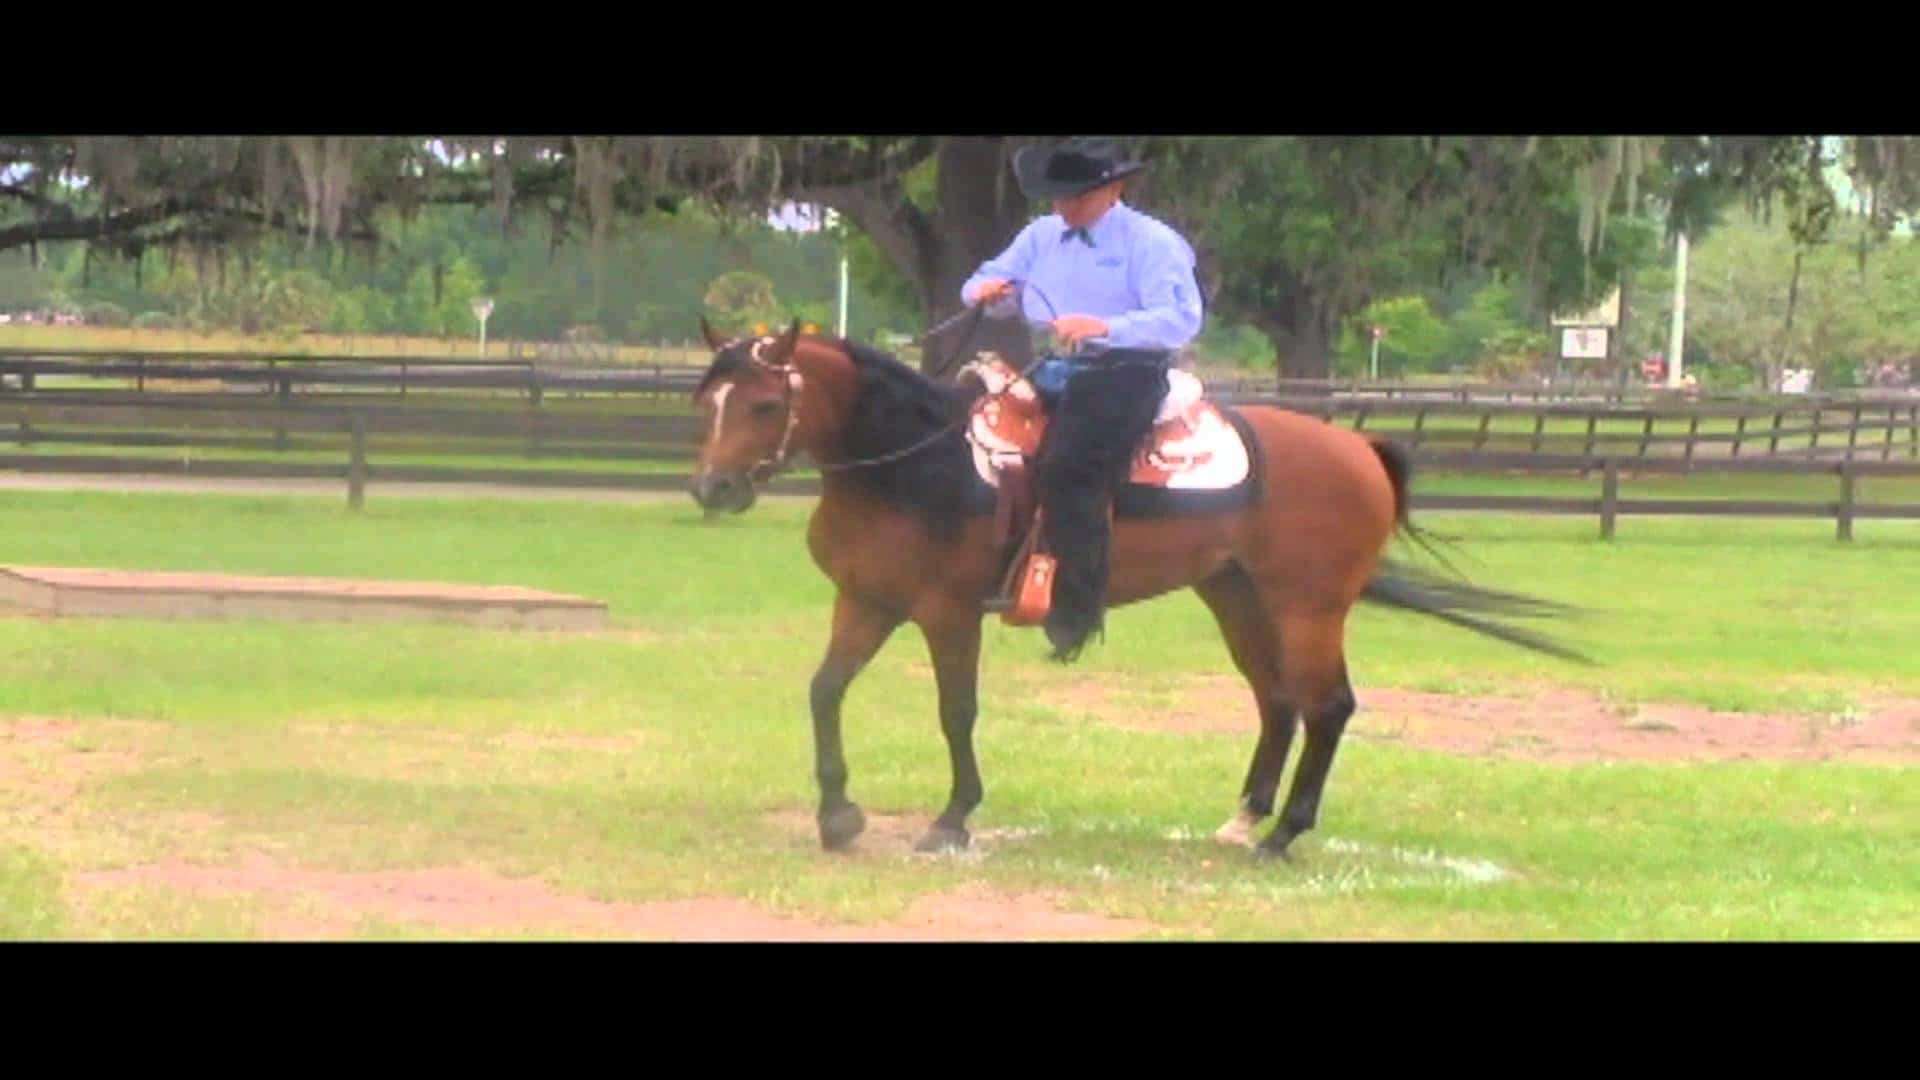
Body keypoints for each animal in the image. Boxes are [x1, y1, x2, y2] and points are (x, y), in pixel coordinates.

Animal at [687, 317, 1586, 862]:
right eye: (708, 400)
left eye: (764, 403)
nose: (711, 490)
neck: (922, 463)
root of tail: (1360, 450)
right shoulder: (867, 602)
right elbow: (825, 689)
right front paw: (837, 815)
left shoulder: (948, 614)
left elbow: (955, 711)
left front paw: (951, 818)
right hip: (1236, 596)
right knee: (1278, 701)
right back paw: (1245, 819)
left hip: (1308, 607)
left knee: (1327, 705)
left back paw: (1282, 836)